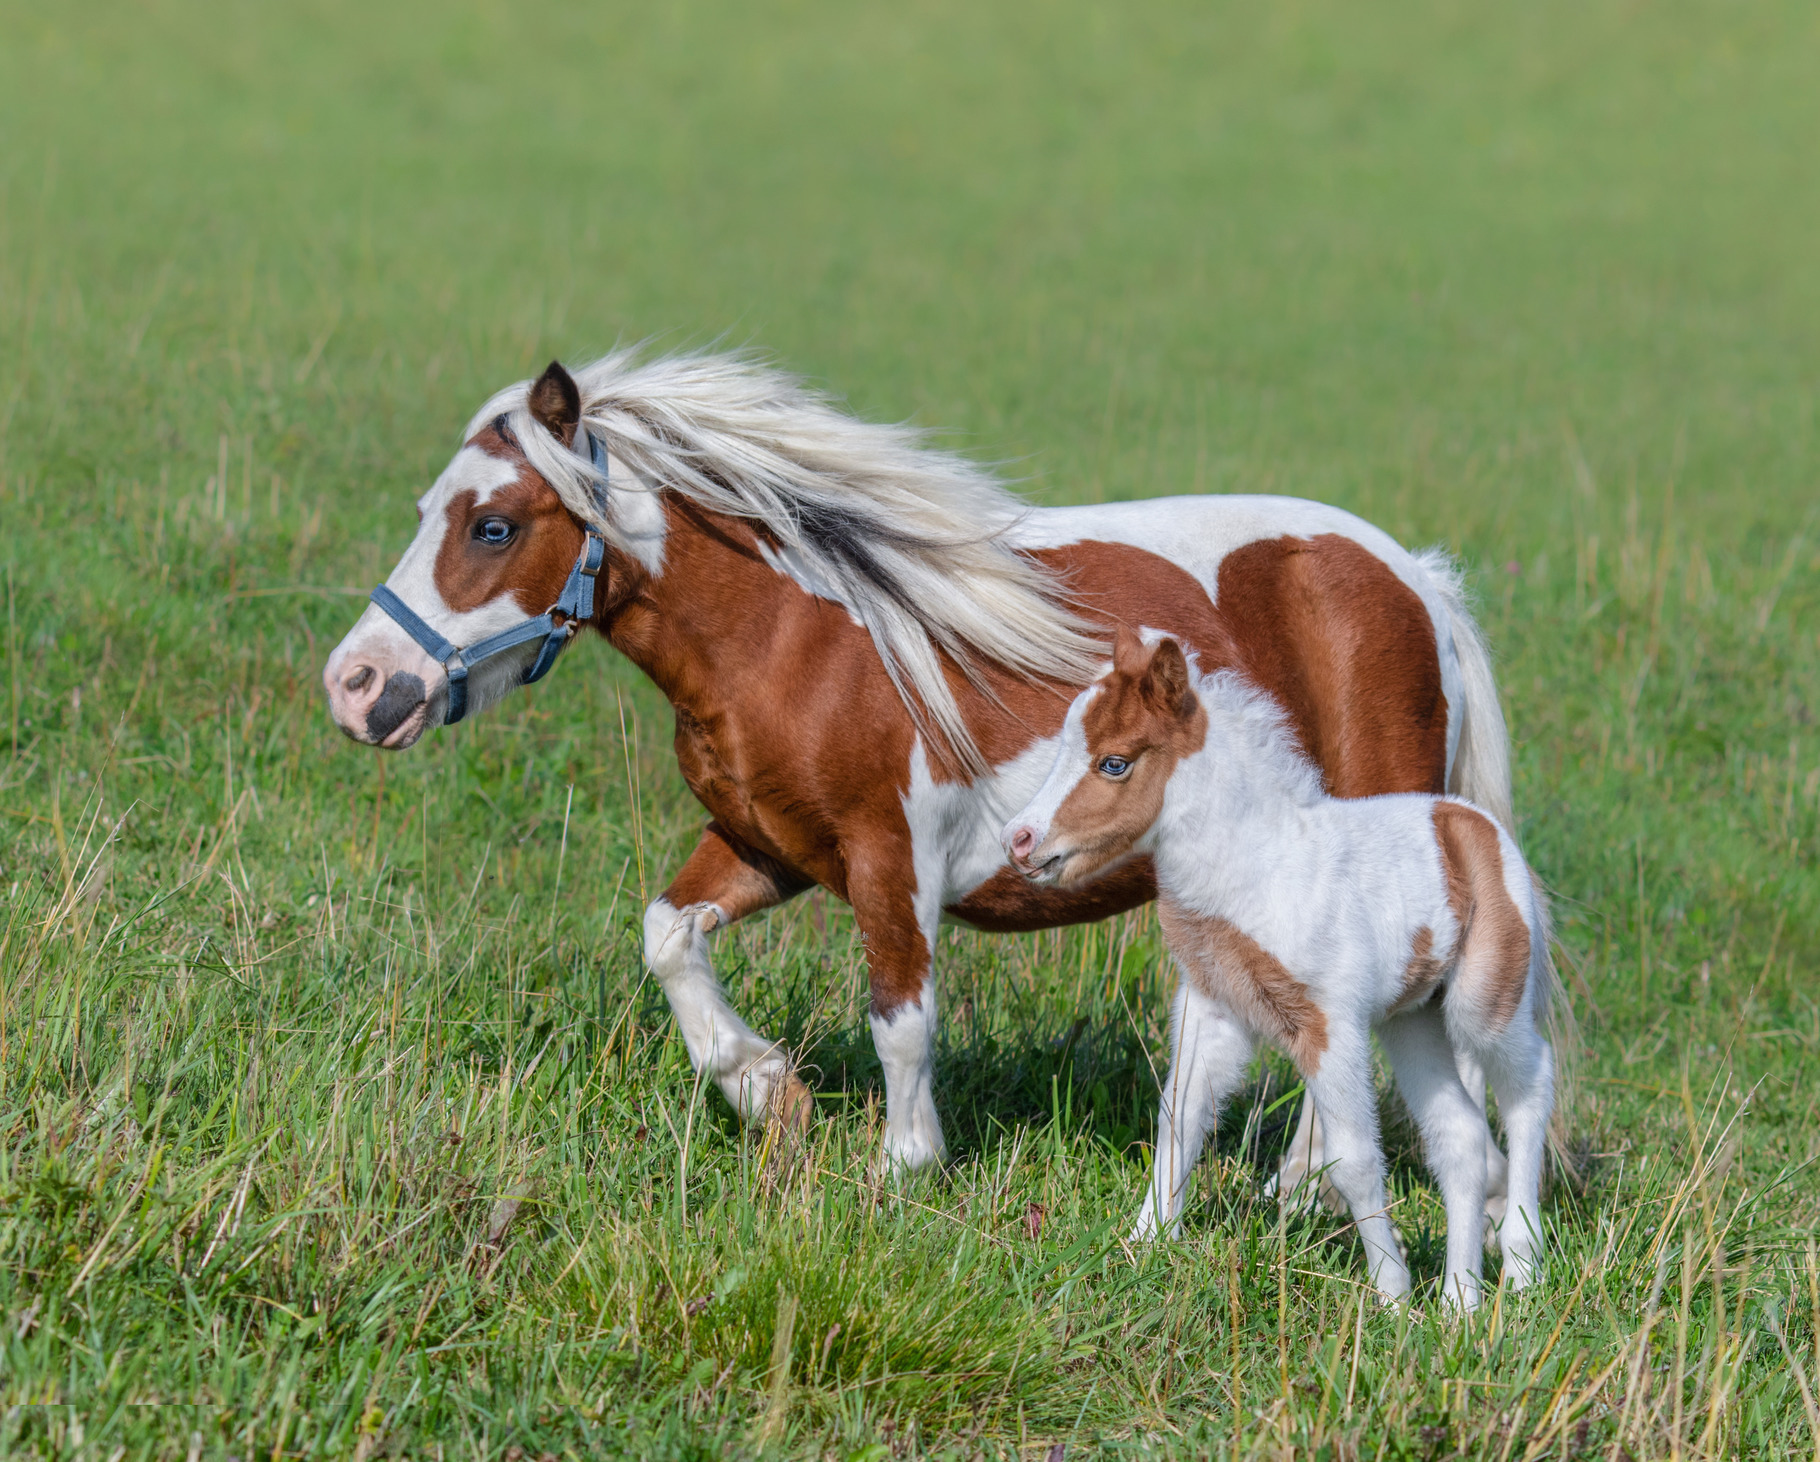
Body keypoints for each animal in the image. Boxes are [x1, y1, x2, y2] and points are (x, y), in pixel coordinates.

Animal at [322, 349, 1516, 1181]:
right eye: (429, 510)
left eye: (489, 525)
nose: (358, 685)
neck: (799, 633)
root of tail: (1413, 577)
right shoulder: (765, 844)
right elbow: (667, 936)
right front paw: (768, 1094)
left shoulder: (888, 857)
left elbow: (900, 1016)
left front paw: (904, 1165)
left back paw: (1301, 1187)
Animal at [1001, 629, 1553, 1307]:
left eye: (1114, 763)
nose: (1018, 841)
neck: (1258, 867)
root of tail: (1476, 823)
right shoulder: (1212, 1005)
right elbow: (1180, 1116)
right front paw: (1141, 1246)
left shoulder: (1328, 1023)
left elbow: (1352, 1158)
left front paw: (1392, 1297)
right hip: (1411, 1021)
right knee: (1460, 1136)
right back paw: (1459, 1304)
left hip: (1485, 1003)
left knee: (1530, 1087)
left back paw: (1521, 1265)